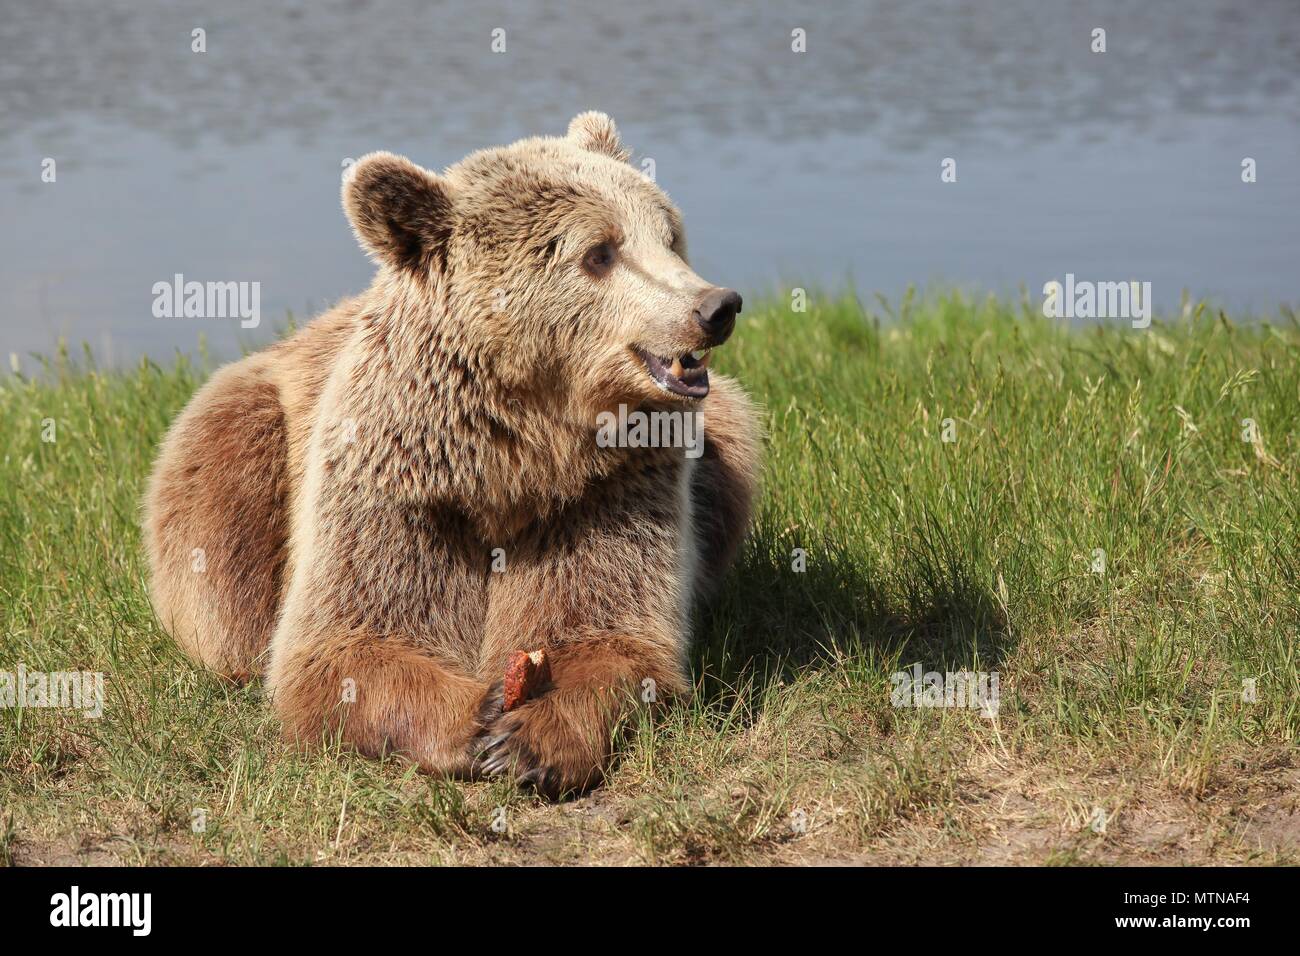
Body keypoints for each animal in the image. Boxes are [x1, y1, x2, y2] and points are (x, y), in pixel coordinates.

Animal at [143, 113, 761, 798]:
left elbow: (611, 628)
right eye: (600, 251)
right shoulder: (399, 488)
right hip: (233, 439)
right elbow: (347, 642)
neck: (515, 454)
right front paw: (478, 715)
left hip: (720, 436)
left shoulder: (607, 489)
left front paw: (532, 738)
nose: (716, 306)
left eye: (670, 234)